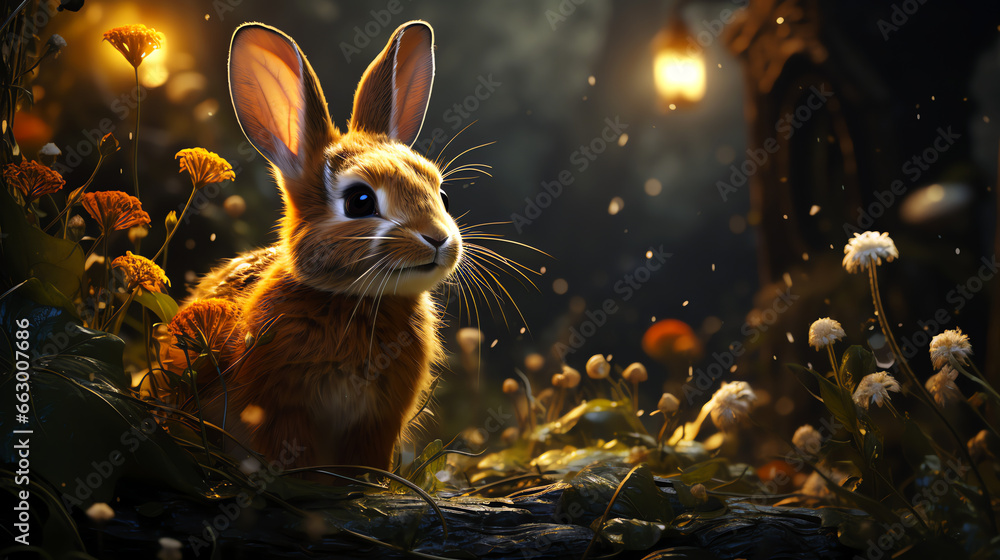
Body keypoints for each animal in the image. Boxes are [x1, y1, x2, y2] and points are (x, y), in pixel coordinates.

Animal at [182, 20, 461, 474]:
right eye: (360, 201)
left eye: (443, 197)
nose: (438, 238)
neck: (354, 300)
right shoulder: (283, 409)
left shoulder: (377, 421)